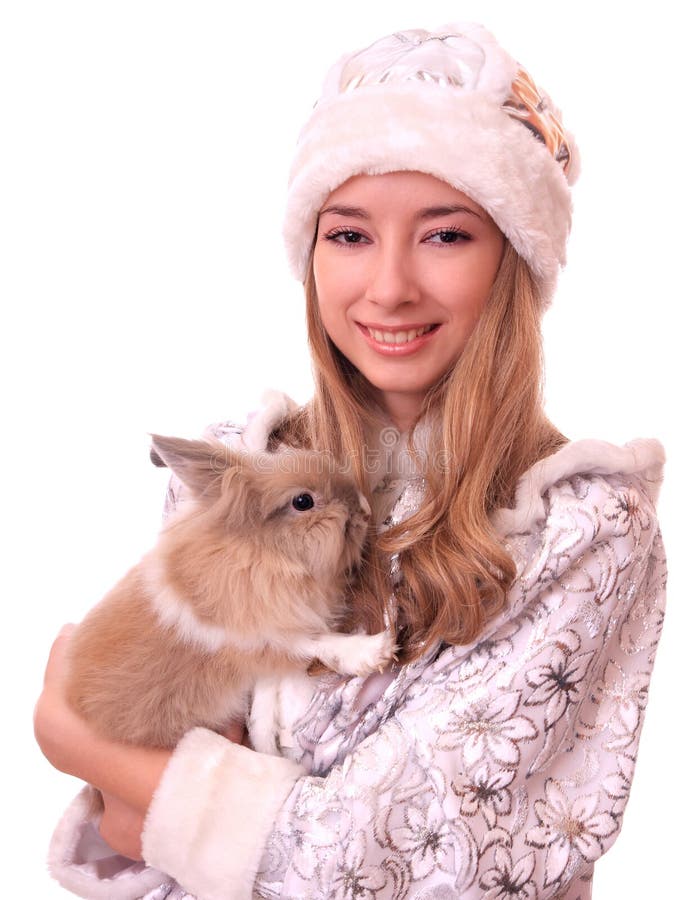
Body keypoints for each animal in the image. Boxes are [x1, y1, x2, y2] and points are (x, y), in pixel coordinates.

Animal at [64, 434, 396, 750]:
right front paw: (374, 651)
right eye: (303, 501)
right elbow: (314, 641)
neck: (265, 553)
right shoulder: (259, 633)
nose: (365, 510)